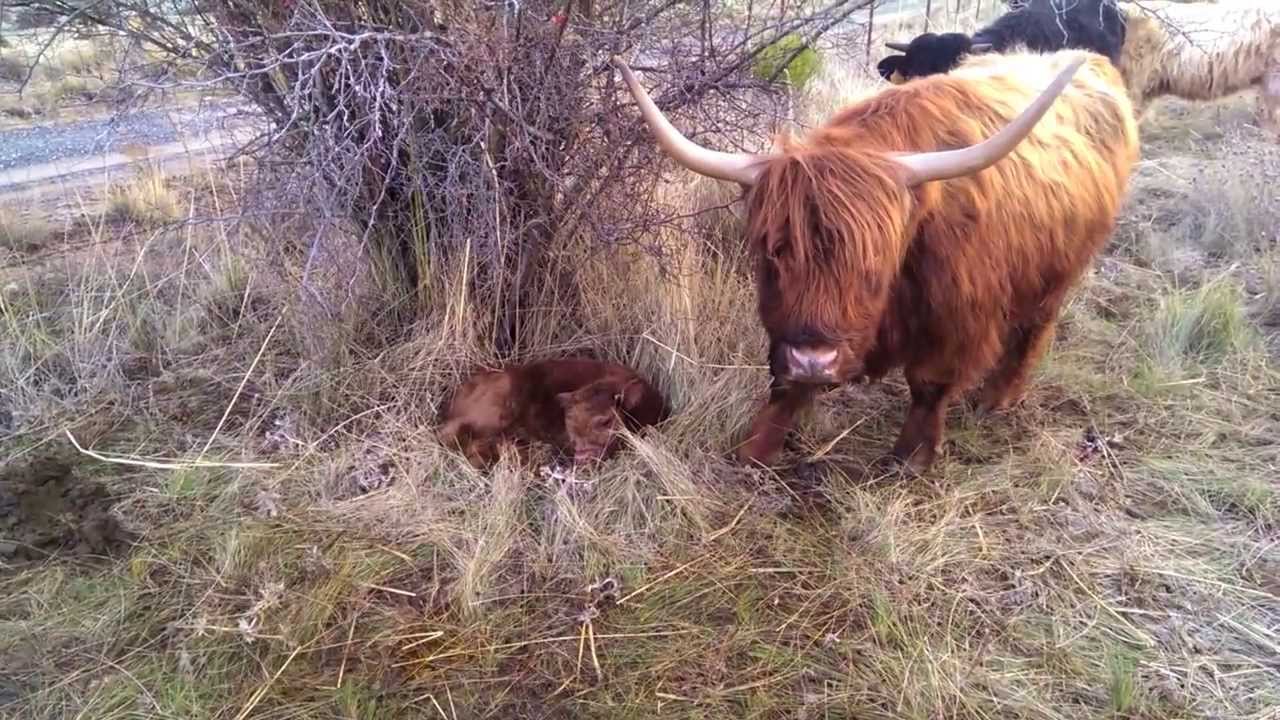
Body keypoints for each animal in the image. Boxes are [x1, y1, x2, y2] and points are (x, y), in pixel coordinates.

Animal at [613, 49, 1138, 473]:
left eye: (874, 265)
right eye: (773, 254)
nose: (813, 358)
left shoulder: (954, 319)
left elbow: (928, 384)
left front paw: (911, 459)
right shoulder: (790, 332)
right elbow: (784, 386)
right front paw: (754, 449)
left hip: (1060, 270)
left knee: (1034, 328)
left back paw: (998, 398)